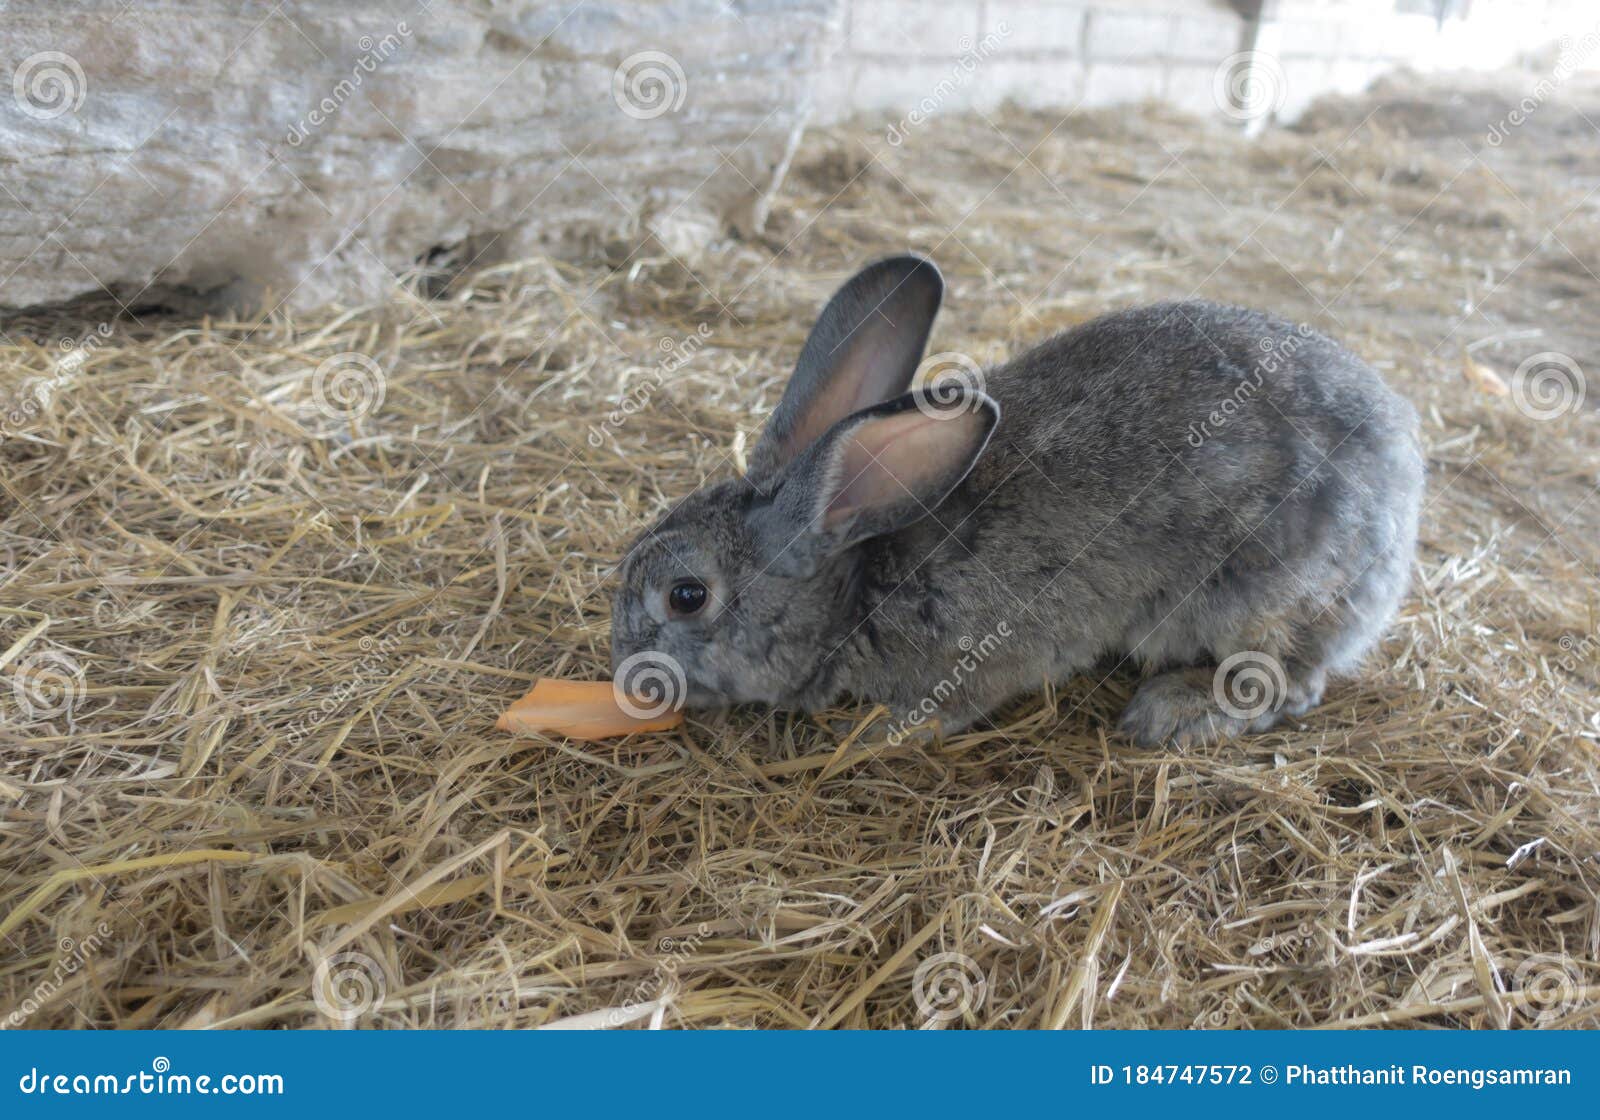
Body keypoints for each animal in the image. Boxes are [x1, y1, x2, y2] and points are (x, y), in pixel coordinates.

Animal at [610, 255, 1423, 747]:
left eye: (686, 596)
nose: (625, 674)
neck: (854, 580)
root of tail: (1405, 487)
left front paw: (877, 731)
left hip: (1260, 596)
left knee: (1285, 680)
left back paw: (1171, 710)